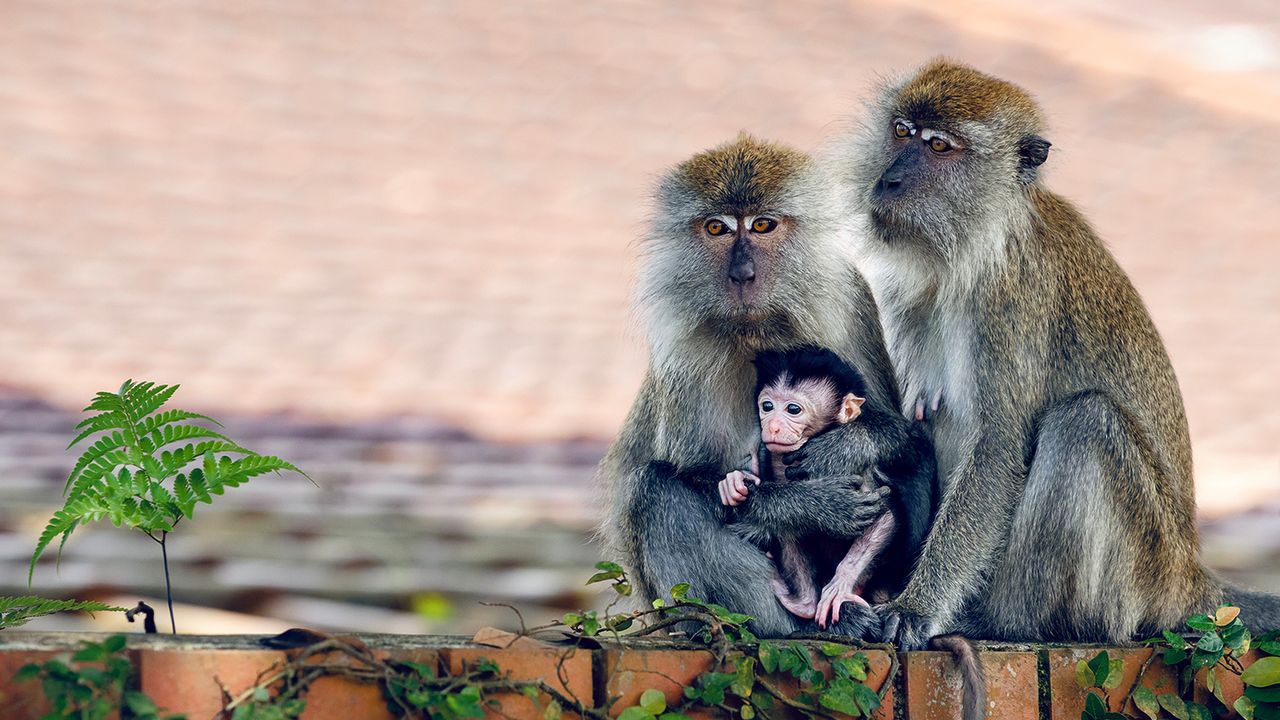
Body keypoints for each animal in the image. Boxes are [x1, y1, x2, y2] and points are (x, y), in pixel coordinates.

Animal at [717, 345, 936, 629]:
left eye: (793, 409)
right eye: (767, 406)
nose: (772, 426)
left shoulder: (855, 473)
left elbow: (884, 515)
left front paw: (842, 582)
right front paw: (734, 484)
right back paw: (803, 602)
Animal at [781, 58, 1280, 649]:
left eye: (940, 146)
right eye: (902, 131)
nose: (890, 180)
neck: (976, 246)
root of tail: (1193, 580)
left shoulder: (1009, 300)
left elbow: (997, 448)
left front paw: (916, 608)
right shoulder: (909, 292)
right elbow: (913, 427)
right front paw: (849, 448)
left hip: (1143, 576)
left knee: (1086, 423)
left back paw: (1007, 620)